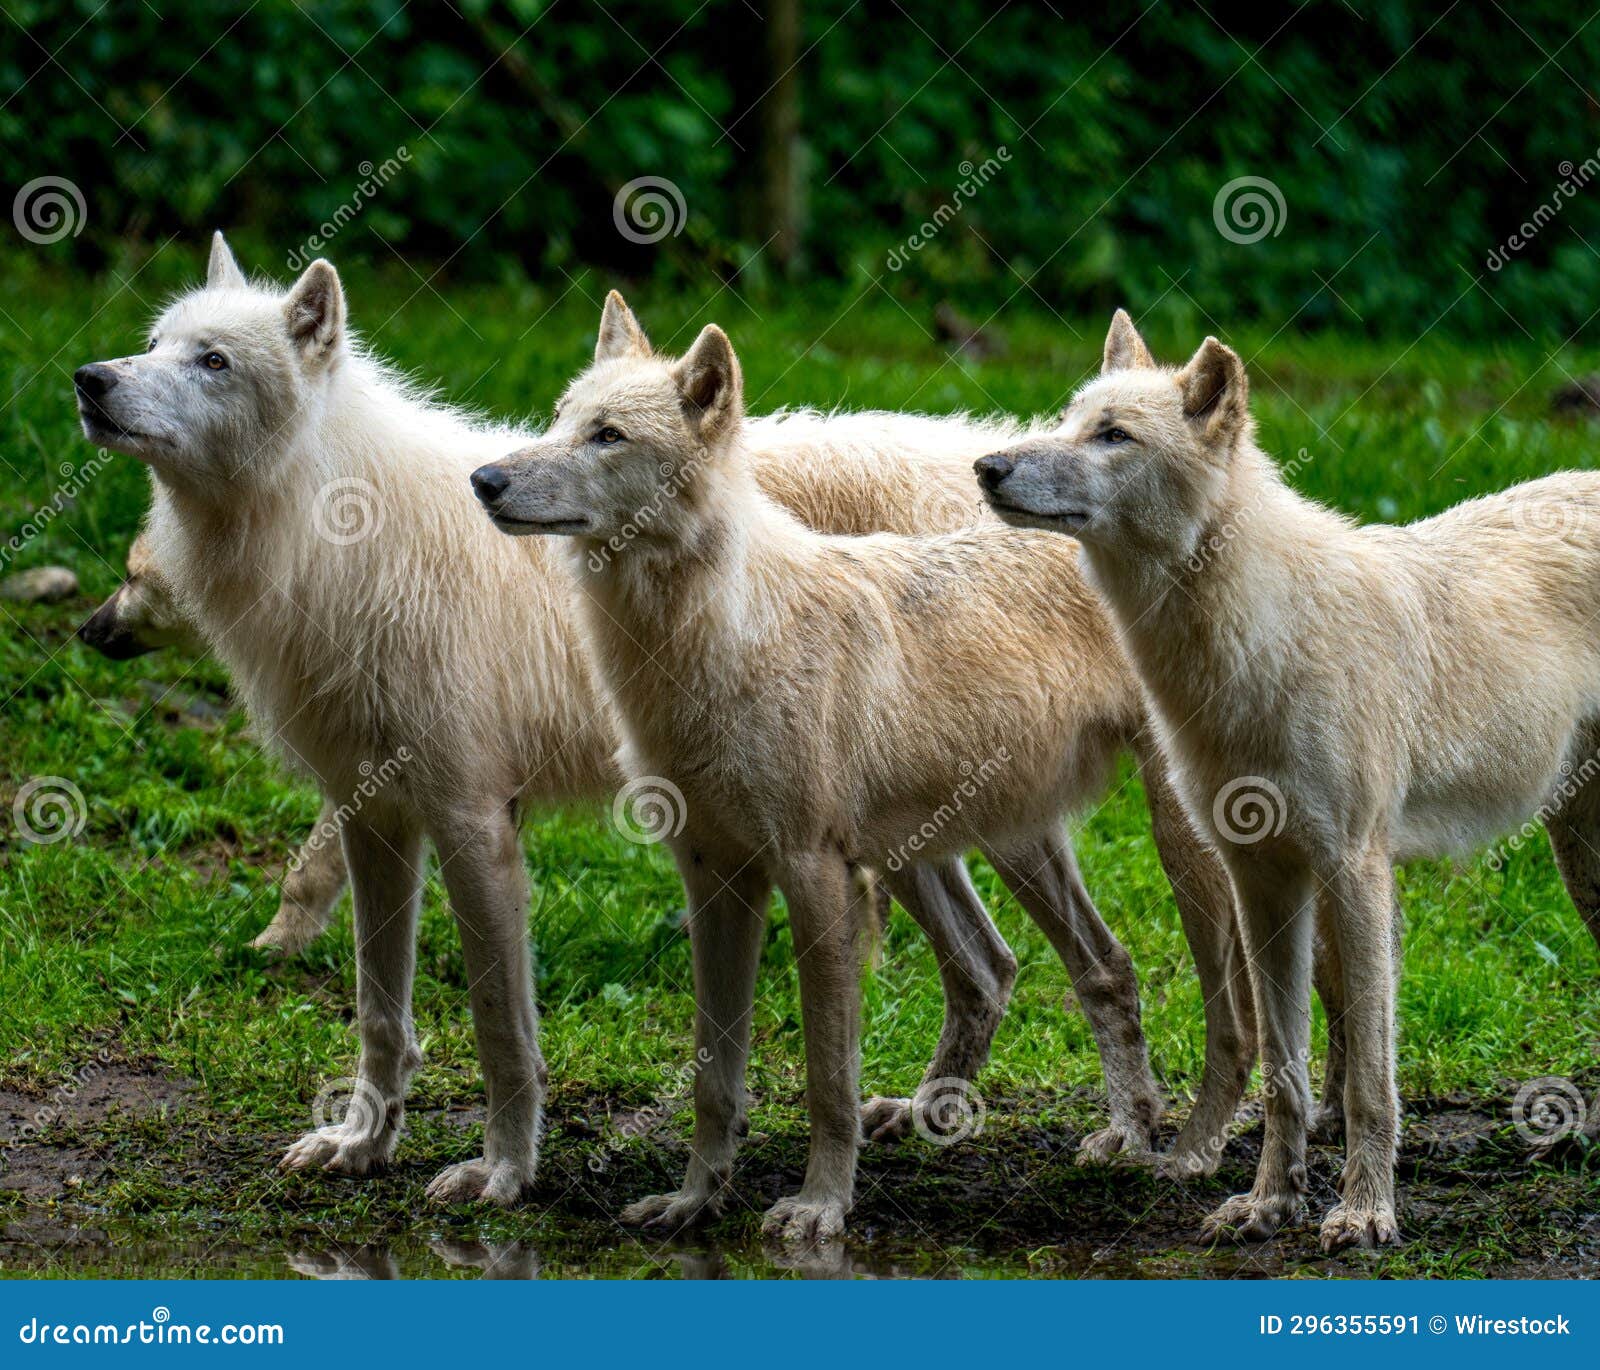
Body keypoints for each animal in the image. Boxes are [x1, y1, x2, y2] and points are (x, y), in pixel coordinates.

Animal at [470, 300, 1252, 1240]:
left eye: (607, 436)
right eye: (558, 420)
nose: (483, 479)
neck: (708, 642)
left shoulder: (813, 875)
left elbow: (827, 1079)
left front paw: (818, 1208)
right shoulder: (715, 878)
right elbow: (713, 1074)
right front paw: (694, 1201)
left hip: (1171, 848)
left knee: (1233, 1012)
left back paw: (1198, 1150)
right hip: (966, 843)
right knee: (1072, 967)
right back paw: (1103, 1134)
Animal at [975, 310, 1600, 1251]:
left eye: (1114, 436)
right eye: (1065, 420)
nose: (987, 467)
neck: (1260, 636)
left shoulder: (1354, 869)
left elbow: (1370, 1081)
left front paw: (1365, 1212)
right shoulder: (1262, 878)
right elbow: (1284, 1072)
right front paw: (1269, 1204)